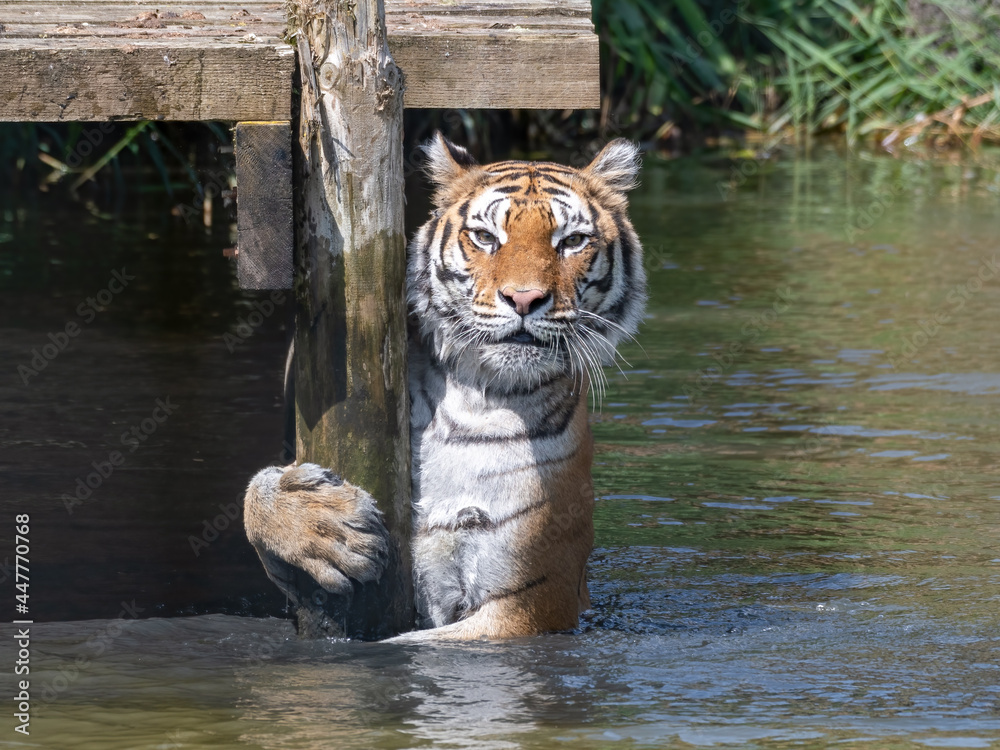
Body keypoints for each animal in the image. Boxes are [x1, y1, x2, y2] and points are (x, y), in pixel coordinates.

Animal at [243, 133, 646, 640]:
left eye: (572, 241)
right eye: (486, 237)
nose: (525, 298)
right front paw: (321, 523)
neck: (474, 397)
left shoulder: (529, 602)